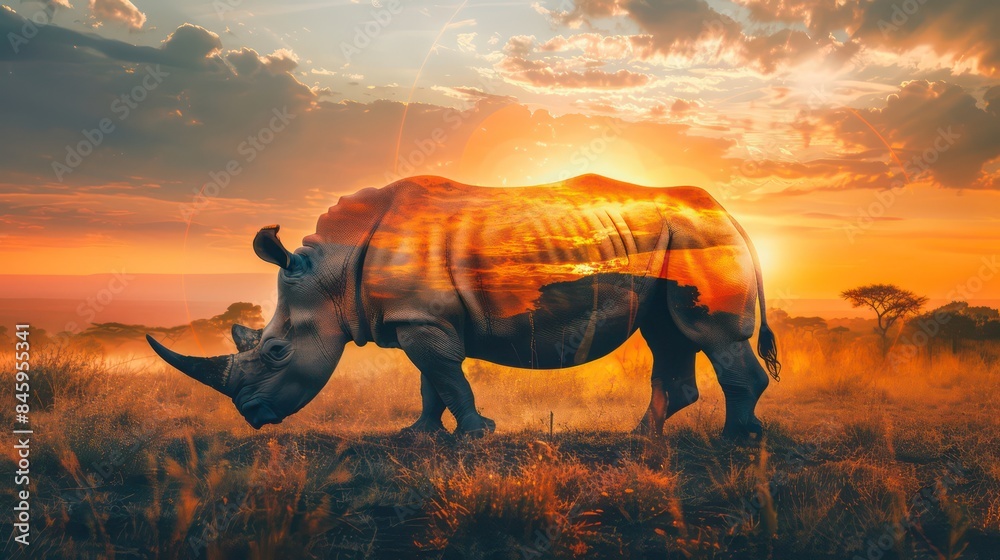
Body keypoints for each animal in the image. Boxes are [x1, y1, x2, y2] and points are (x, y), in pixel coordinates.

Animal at [148, 174, 780, 439]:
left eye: (277, 350)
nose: (252, 415)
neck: (332, 271)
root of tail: (729, 212)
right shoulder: (416, 317)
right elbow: (430, 380)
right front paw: (420, 434)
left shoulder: (421, 320)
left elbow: (447, 376)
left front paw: (477, 433)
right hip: (677, 242)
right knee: (668, 333)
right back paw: (641, 436)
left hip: (699, 240)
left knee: (710, 335)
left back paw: (738, 440)